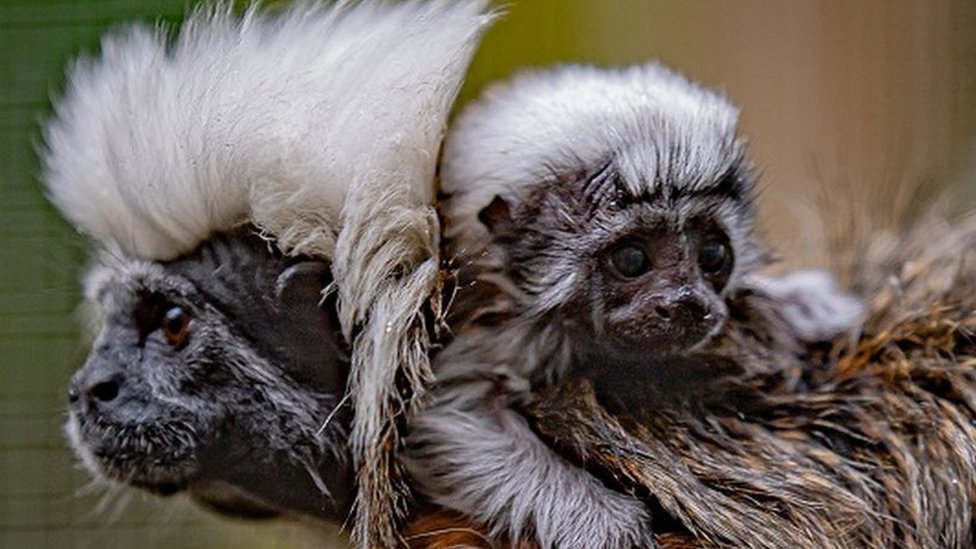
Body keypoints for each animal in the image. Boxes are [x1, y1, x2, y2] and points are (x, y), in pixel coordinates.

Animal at [403, 63, 863, 549]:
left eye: (713, 254)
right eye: (632, 260)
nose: (685, 303)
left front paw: (801, 304)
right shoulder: (509, 330)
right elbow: (445, 418)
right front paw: (600, 522)